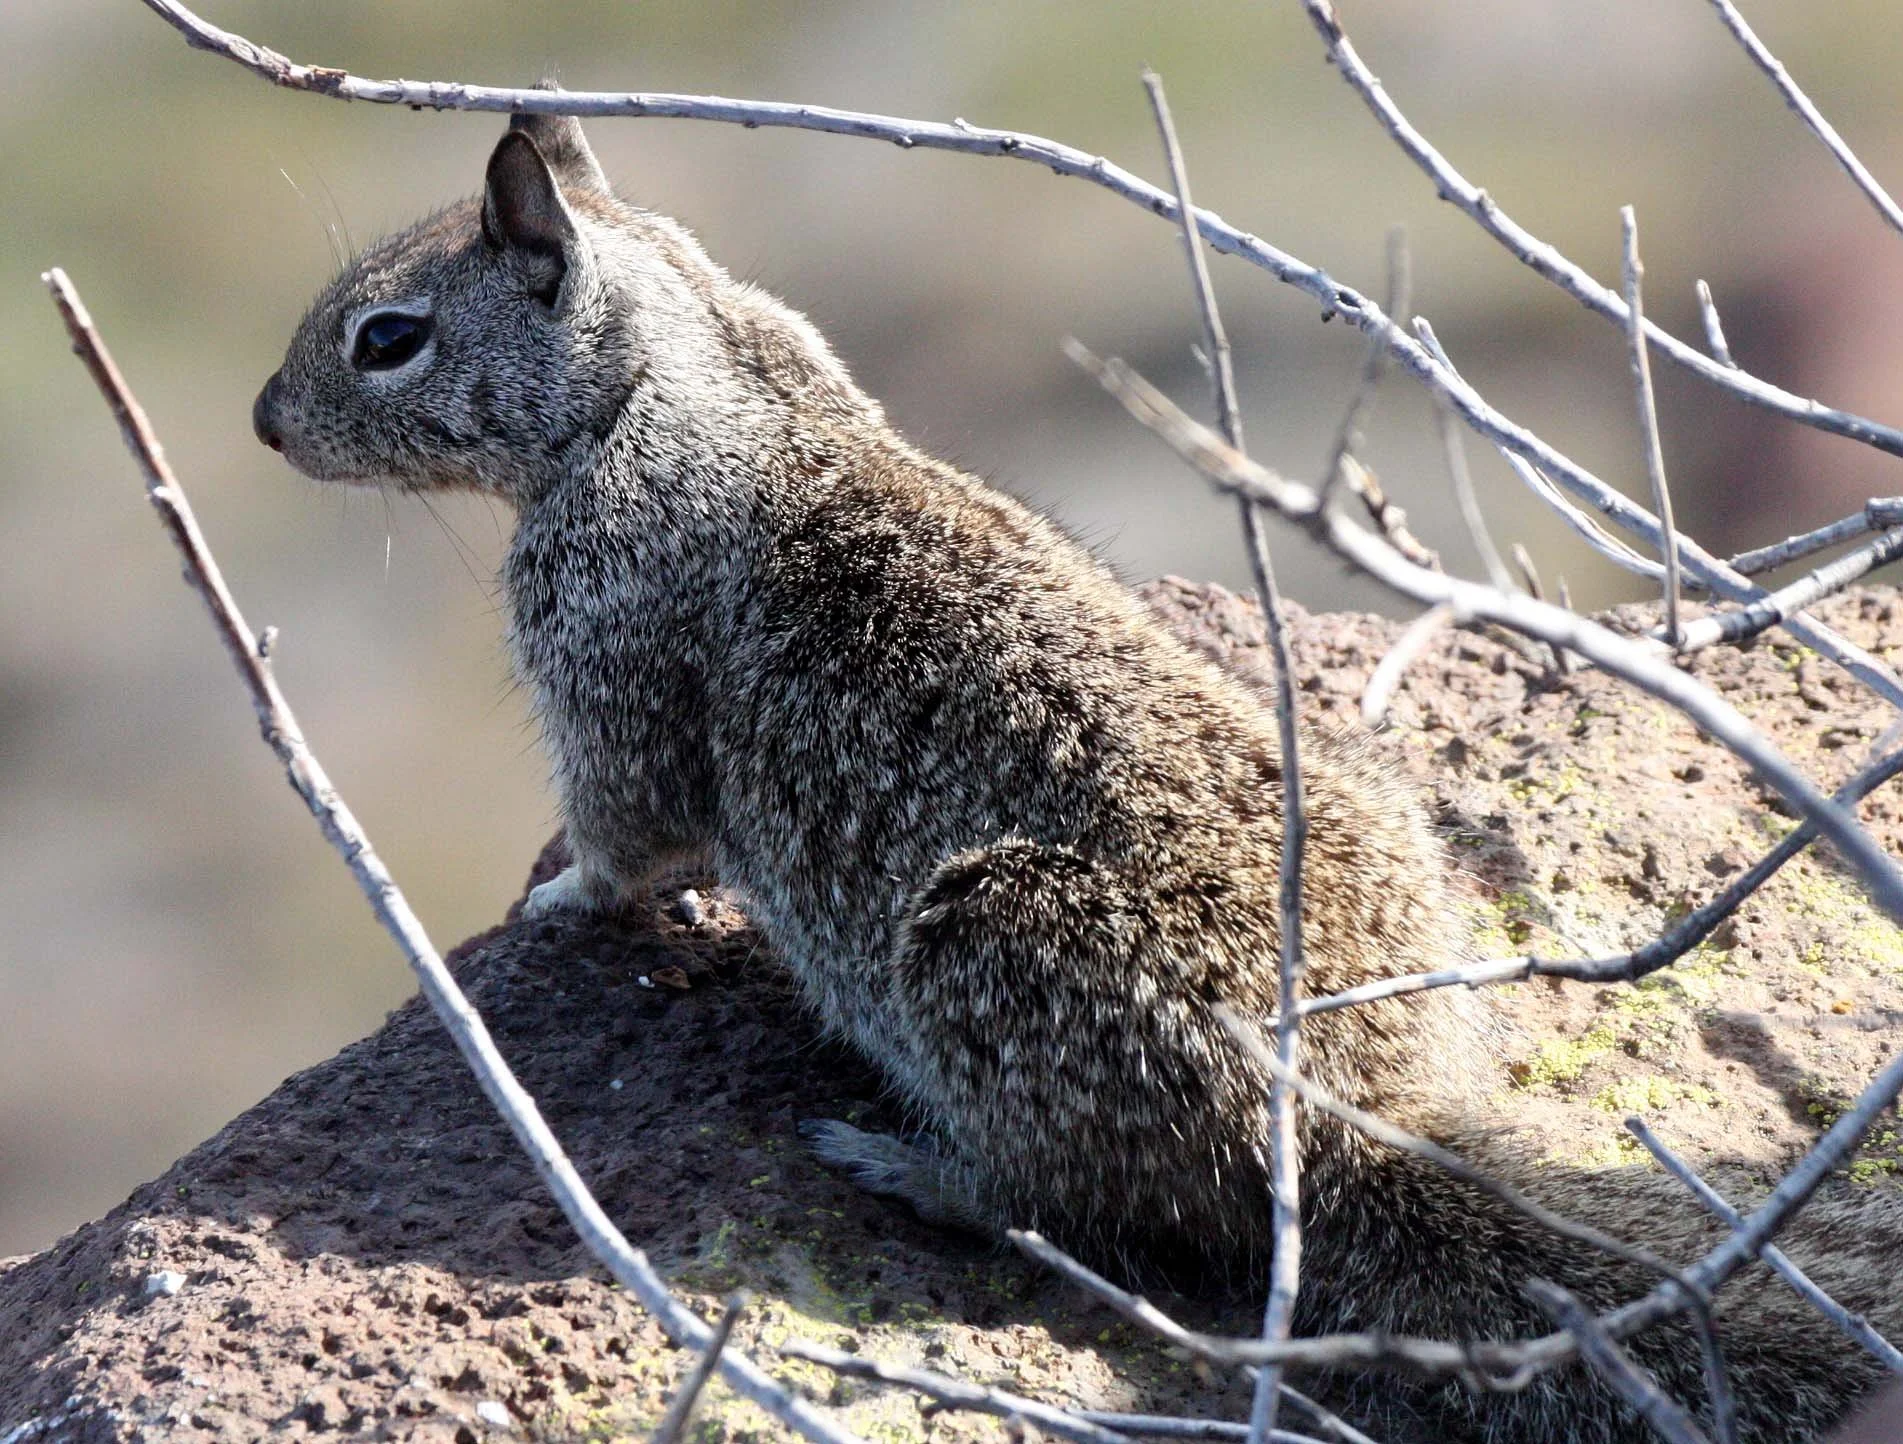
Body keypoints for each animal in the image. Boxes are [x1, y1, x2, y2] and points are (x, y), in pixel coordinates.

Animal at [253, 111, 1901, 1442]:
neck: (685, 369)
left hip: (993, 938)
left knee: (1063, 1207)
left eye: (384, 337)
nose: (265, 423)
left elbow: (624, 831)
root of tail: (1360, 1120)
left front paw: (554, 900)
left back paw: (902, 1164)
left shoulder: (606, 649)